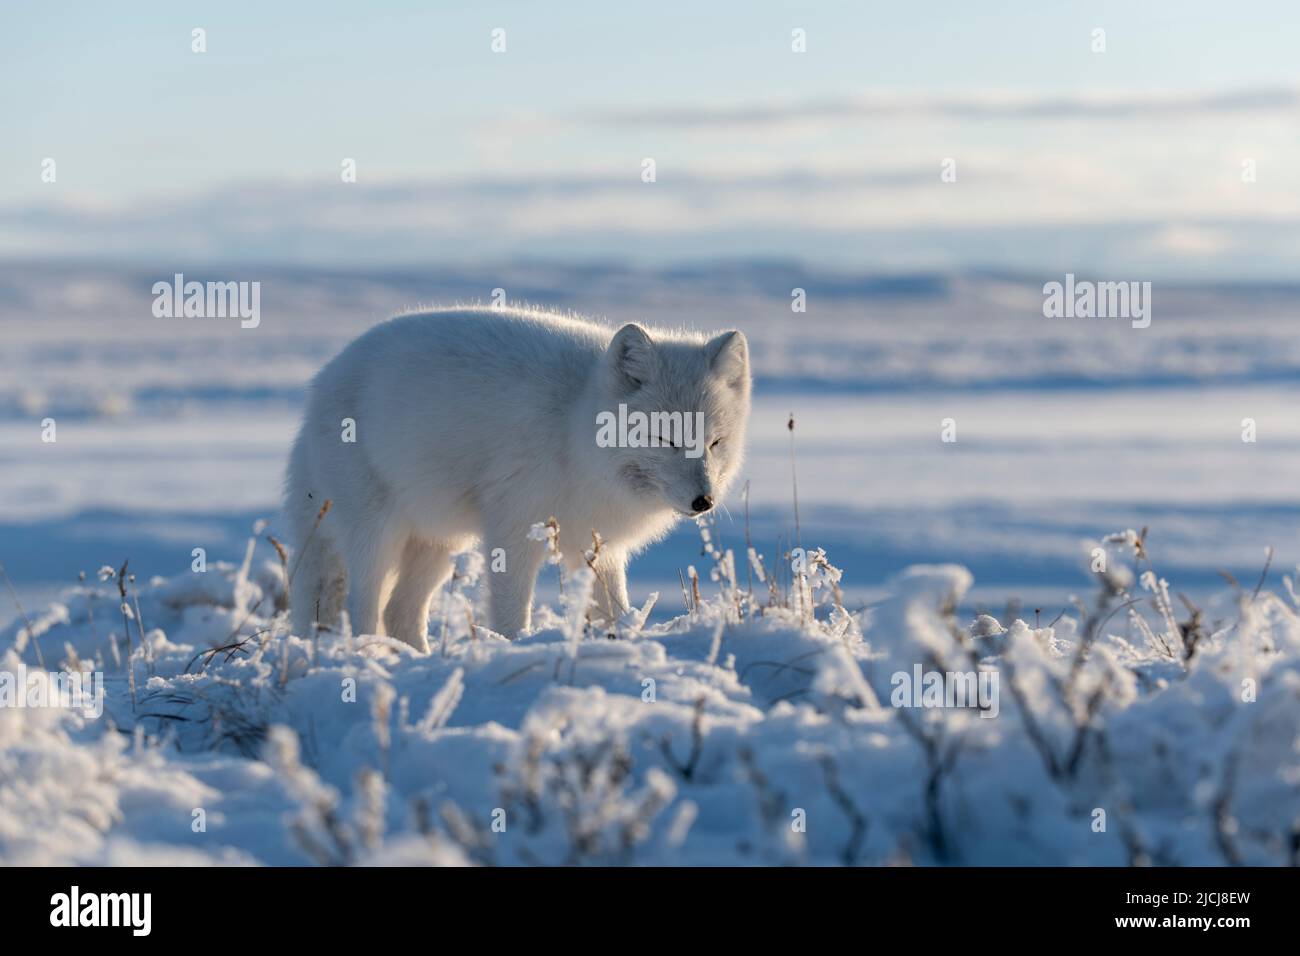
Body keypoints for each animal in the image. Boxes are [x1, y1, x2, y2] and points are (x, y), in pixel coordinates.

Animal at [284, 305, 752, 650]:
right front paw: (512, 646)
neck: (573, 430)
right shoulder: (512, 529)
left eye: (714, 442)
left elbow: (614, 609)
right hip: (376, 535)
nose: (703, 502)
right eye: (663, 437)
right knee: (363, 610)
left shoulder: (599, 545)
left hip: (438, 542)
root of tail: (321, 384)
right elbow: (511, 612)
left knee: (398, 612)